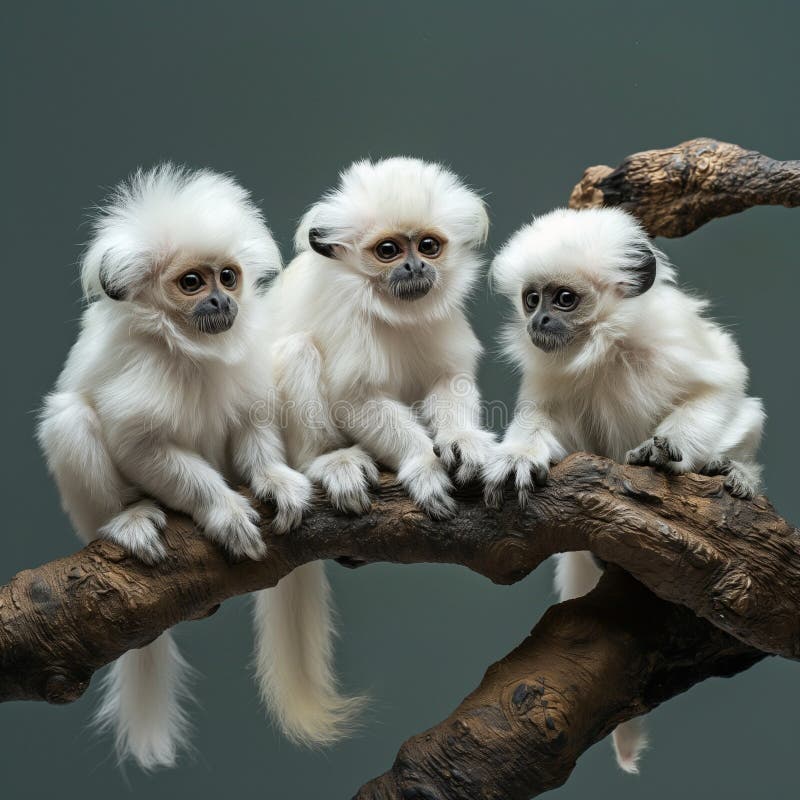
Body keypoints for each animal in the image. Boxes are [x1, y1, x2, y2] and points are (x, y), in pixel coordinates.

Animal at [37, 165, 312, 770]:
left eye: (228, 277)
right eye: (192, 283)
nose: (220, 303)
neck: (188, 349)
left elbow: (253, 427)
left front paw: (275, 483)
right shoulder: (142, 389)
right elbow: (142, 446)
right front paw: (225, 511)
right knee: (72, 420)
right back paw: (130, 520)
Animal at [252, 156, 497, 747]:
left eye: (428, 245)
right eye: (388, 250)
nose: (413, 268)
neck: (390, 311)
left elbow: (449, 384)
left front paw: (461, 445)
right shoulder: (352, 336)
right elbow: (357, 399)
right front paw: (425, 466)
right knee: (297, 353)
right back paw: (334, 464)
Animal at [483, 206, 764, 773]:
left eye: (564, 299)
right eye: (531, 298)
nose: (537, 322)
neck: (604, 347)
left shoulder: (682, 346)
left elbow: (719, 389)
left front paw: (669, 450)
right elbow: (541, 424)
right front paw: (521, 458)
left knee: (746, 419)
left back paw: (732, 470)